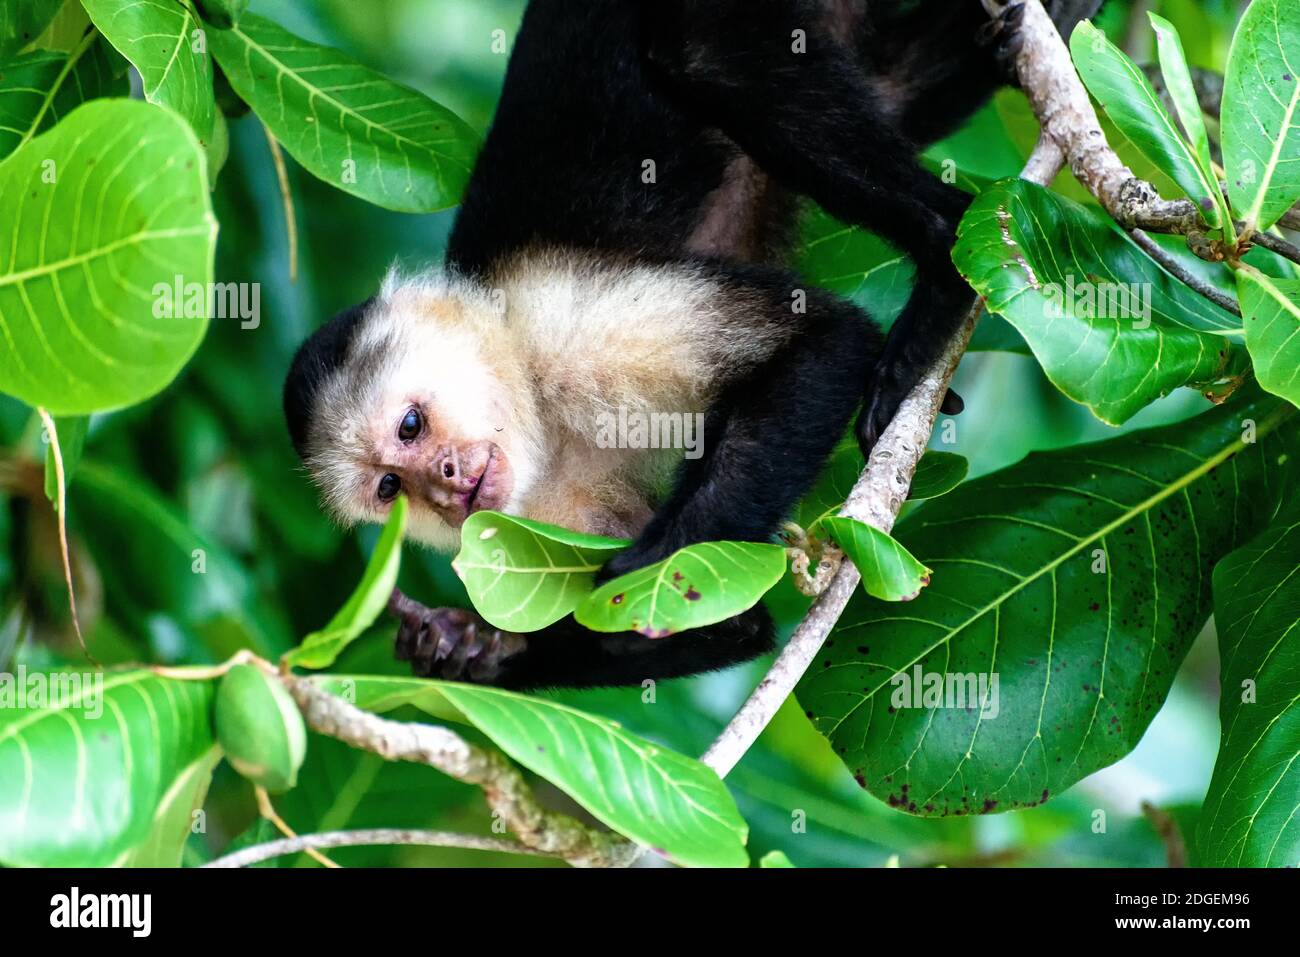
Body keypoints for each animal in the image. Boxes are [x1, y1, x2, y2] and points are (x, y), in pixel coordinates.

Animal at [284, 0, 1102, 689]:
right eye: (390, 489)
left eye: (410, 425)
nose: (446, 484)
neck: (539, 416)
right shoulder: (538, 515)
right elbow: (721, 625)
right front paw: (468, 647)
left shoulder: (565, 320)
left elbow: (825, 341)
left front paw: (652, 563)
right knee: (887, 82)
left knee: (699, 55)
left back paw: (939, 271)